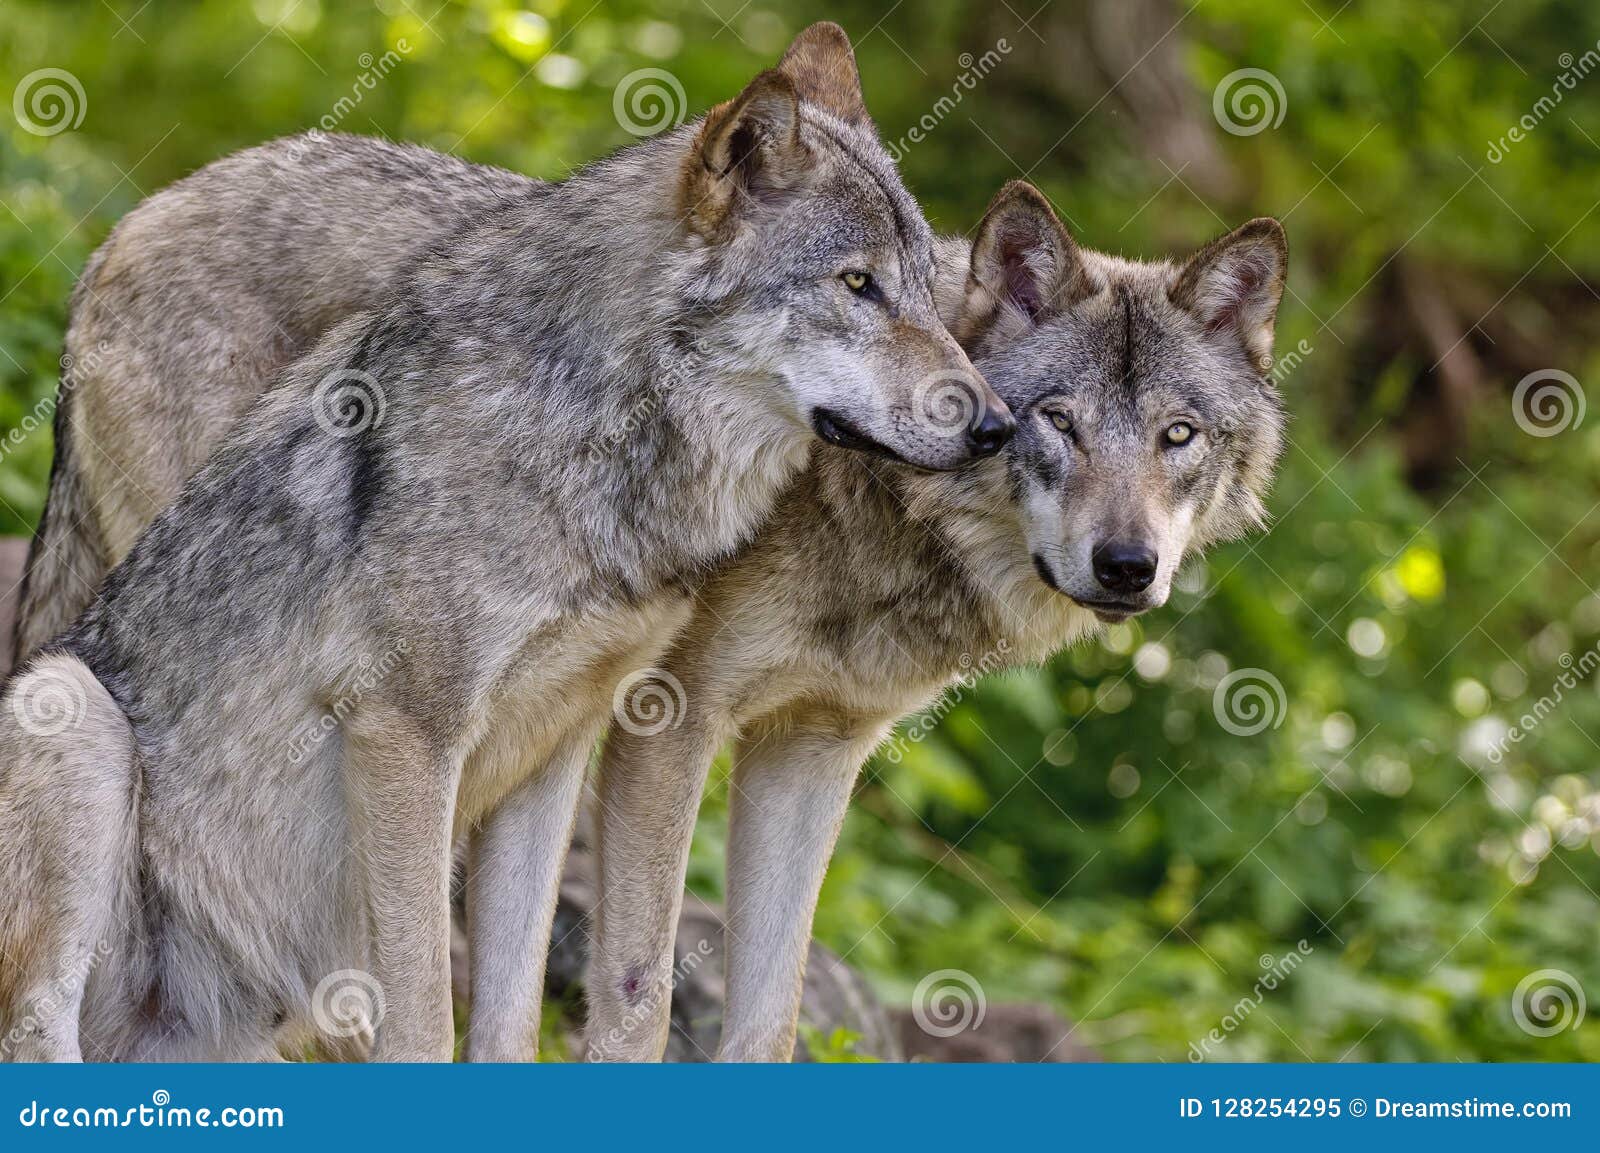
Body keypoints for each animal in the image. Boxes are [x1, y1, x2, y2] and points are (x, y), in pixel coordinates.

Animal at [0, 23, 1009, 1062]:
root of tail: (114, 237)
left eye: (931, 297)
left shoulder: (554, 750)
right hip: (68, 709)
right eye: (858, 284)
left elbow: (510, 1015)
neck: (591, 438)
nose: (996, 427)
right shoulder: (408, 735)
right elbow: (425, 1022)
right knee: (34, 1028)